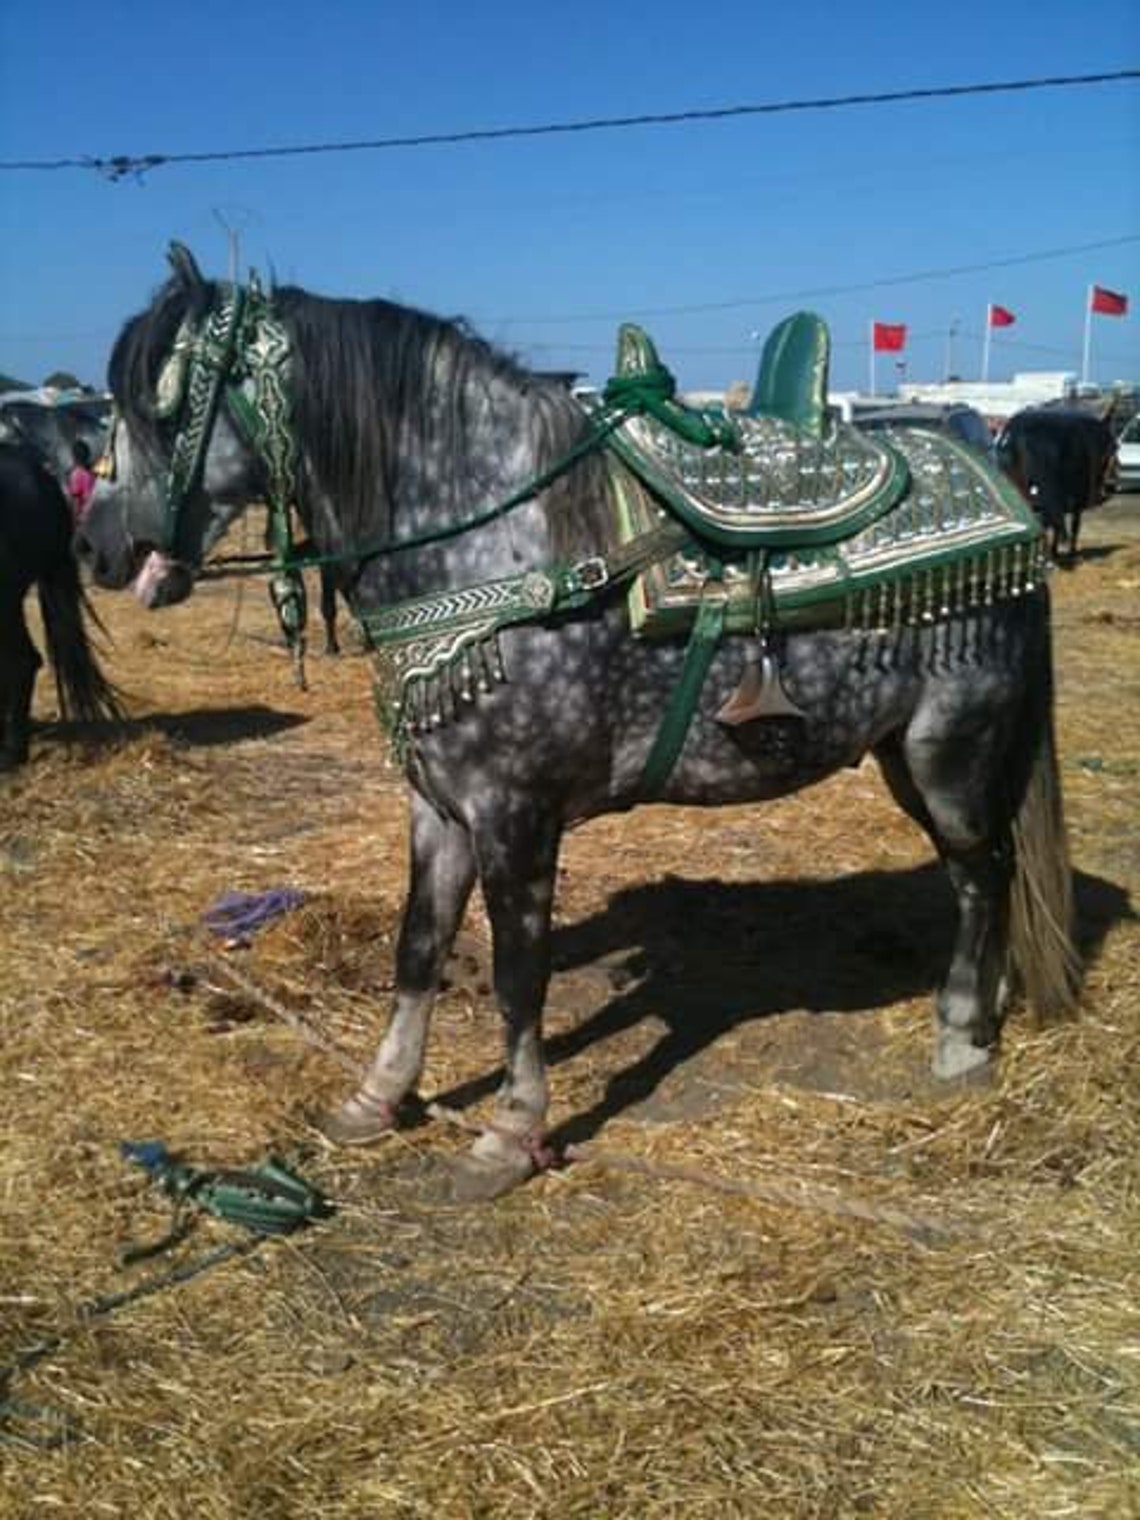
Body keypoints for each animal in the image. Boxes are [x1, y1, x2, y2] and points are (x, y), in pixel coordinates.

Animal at [76, 246, 1080, 1198]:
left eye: (165, 402)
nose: (97, 547)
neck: (502, 545)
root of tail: (1004, 497)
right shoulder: (438, 808)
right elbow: (418, 948)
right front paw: (378, 1096)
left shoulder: (515, 815)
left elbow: (519, 975)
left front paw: (509, 1135)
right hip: (906, 758)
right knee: (981, 877)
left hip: (950, 757)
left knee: (982, 876)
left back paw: (961, 1039)